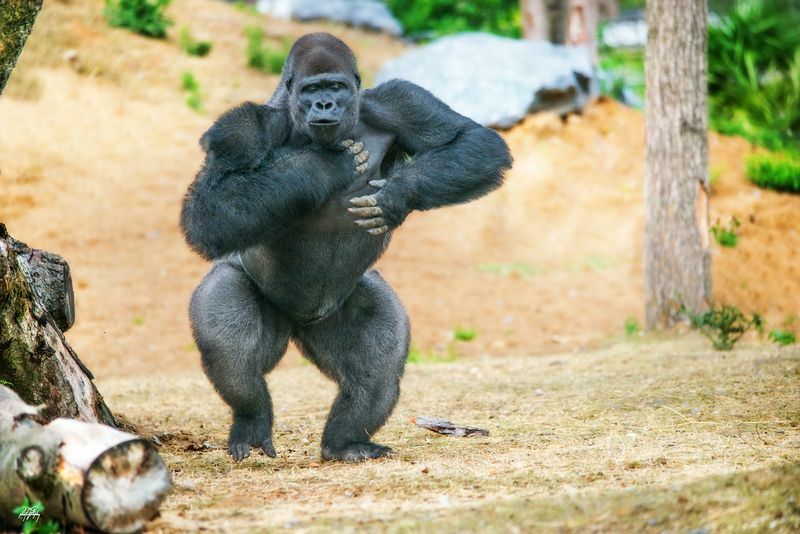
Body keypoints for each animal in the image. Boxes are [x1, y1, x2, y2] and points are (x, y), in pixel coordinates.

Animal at [180, 33, 510, 462]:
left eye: (335, 87)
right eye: (311, 90)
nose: (325, 105)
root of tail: (298, 322)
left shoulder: (399, 99)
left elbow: (474, 142)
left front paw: (398, 195)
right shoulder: (242, 128)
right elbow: (210, 208)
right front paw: (321, 166)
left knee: (375, 373)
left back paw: (345, 443)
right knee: (234, 356)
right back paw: (251, 418)